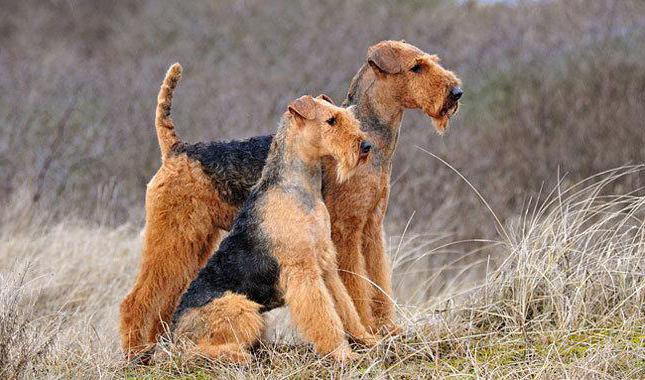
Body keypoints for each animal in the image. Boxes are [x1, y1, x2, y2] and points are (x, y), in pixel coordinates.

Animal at [171, 94, 378, 362]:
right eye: (331, 120)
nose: (367, 146)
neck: (299, 189)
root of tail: (174, 332)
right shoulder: (303, 270)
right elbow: (325, 317)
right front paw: (342, 353)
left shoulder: (325, 264)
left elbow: (345, 308)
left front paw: (367, 339)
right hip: (242, 308)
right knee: (198, 350)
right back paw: (239, 356)